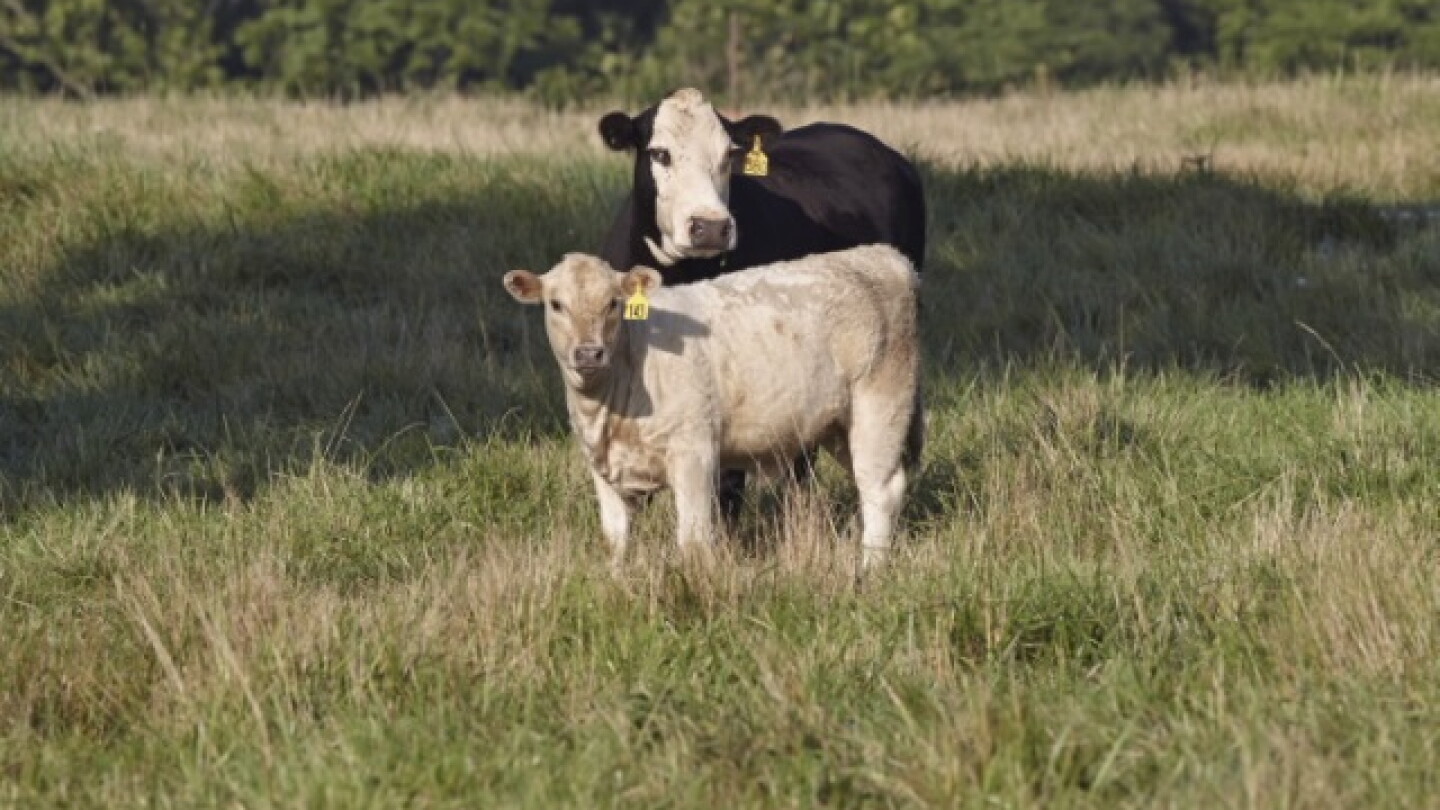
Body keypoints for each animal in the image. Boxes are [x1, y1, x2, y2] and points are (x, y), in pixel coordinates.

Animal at [502, 245, 923, 570]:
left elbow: (692, 537)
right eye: (556, 304)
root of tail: (882, 256)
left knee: (879, 487)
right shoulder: (603, 468)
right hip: (839, 424)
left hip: (881, 404)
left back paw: (870, 568)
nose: (589, 353)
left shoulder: (694, 452)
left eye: (613, 304)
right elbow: (616, 537)